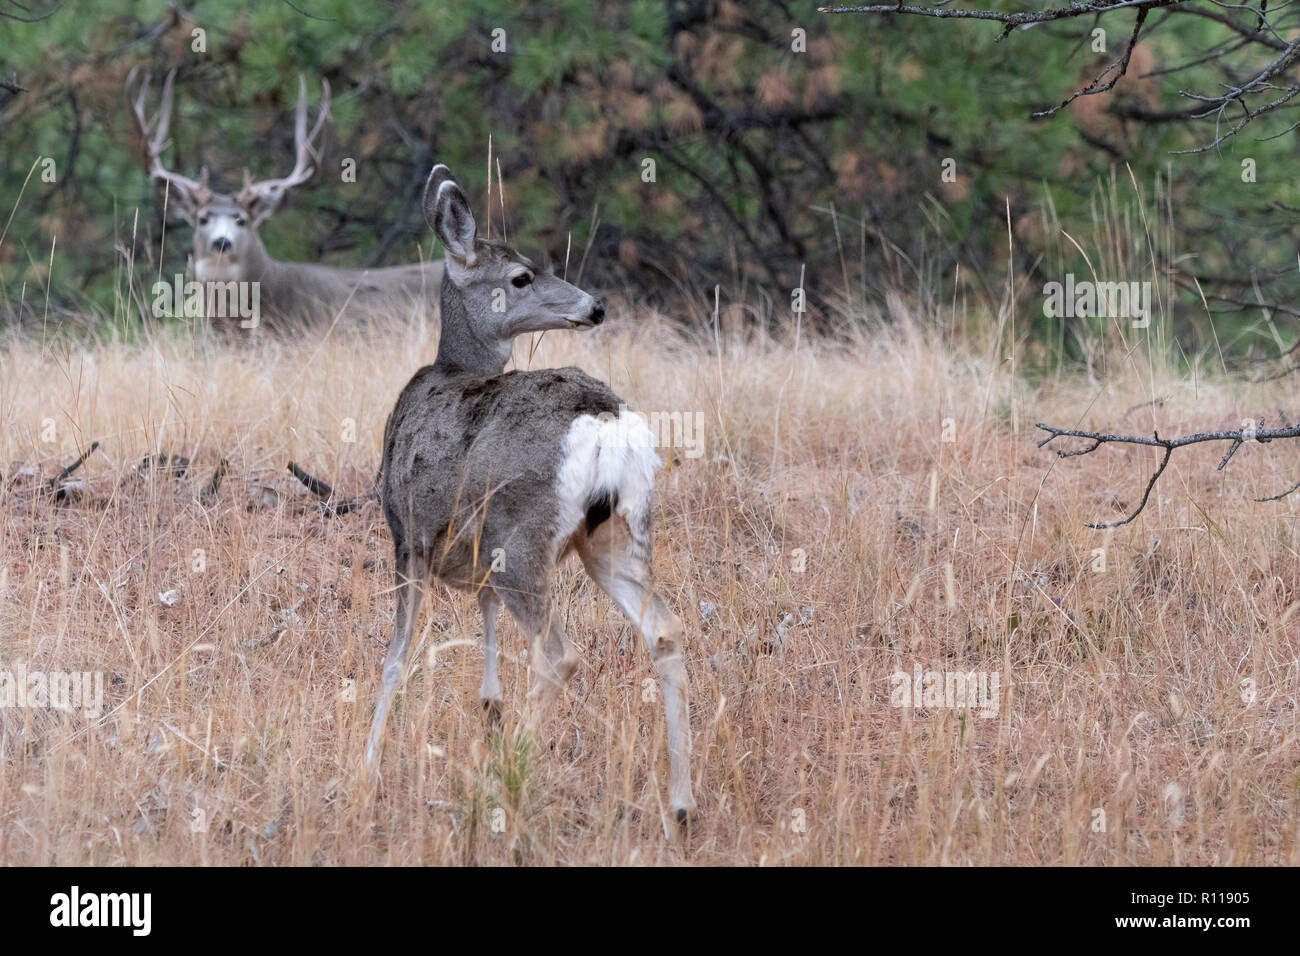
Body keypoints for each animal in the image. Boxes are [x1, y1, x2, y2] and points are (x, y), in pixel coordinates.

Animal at [363, 164, 697, 823]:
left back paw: (503, 784)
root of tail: (605, 421)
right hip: (618, 531)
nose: (595, 306)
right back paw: (680, 802)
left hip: (520, 537)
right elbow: (488, 655)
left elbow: (394, 658)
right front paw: (489, 717)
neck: (451, 369)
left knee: (559, 656)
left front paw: (367, 759)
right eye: (521, 275)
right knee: (665, 630)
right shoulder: (476, 570)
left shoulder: (409, 537)